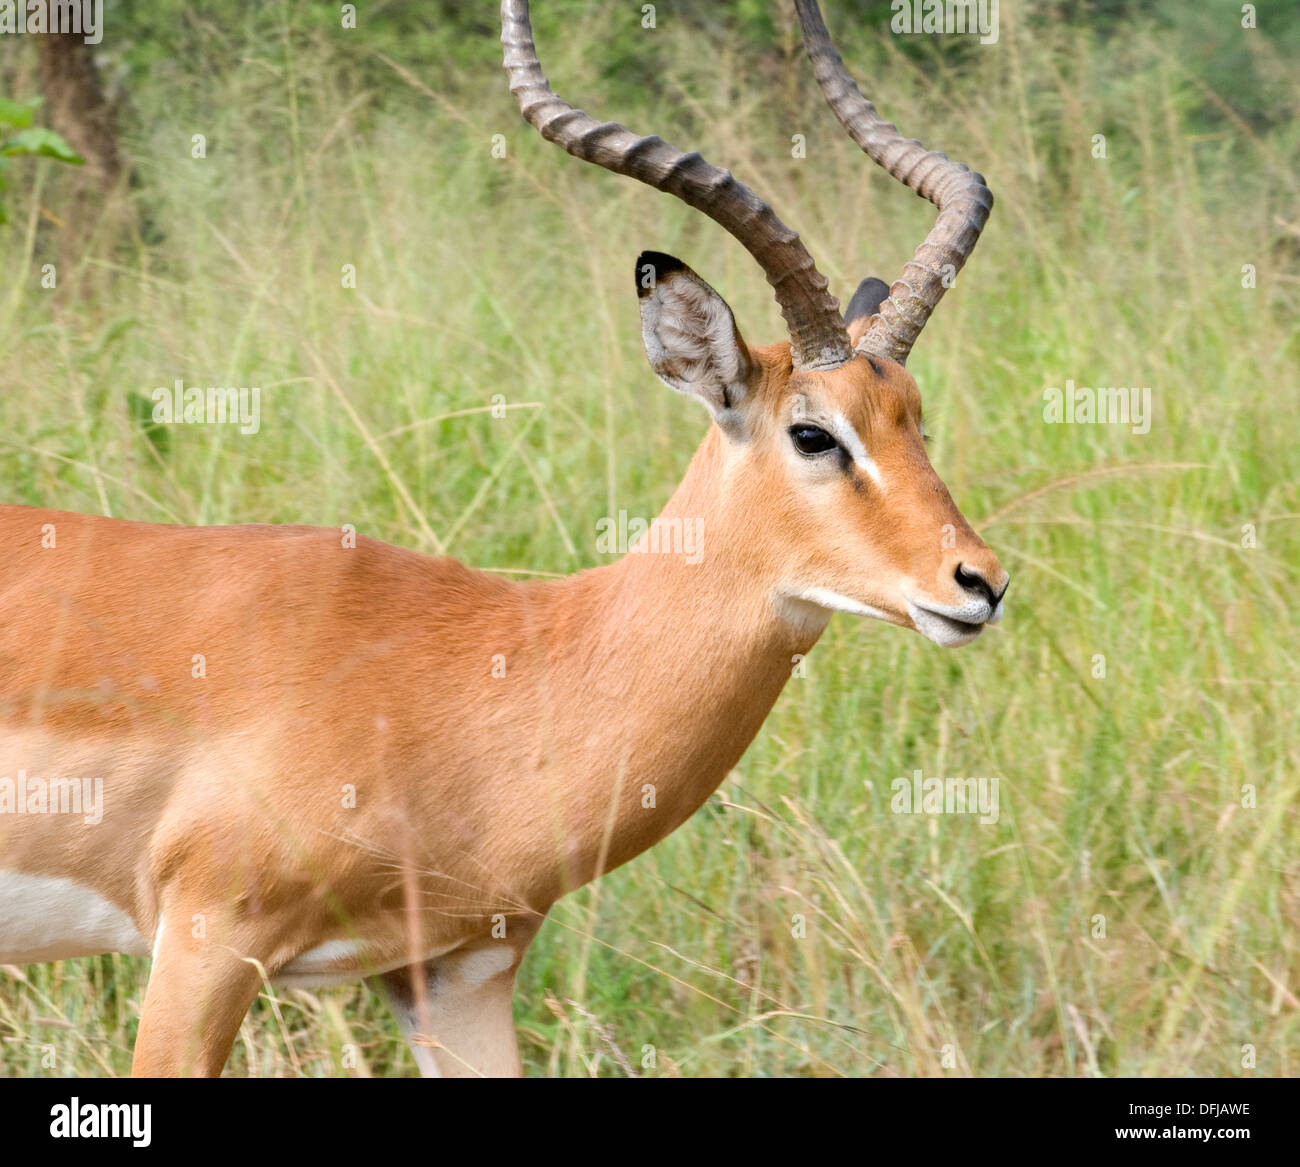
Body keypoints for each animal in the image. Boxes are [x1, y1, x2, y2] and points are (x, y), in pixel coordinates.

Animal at [0, 0, 1007, 1077]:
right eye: (814, 433)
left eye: (913, 415)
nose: (978, 582)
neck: (499, 665)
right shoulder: (205, 938)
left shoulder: (456, 970)